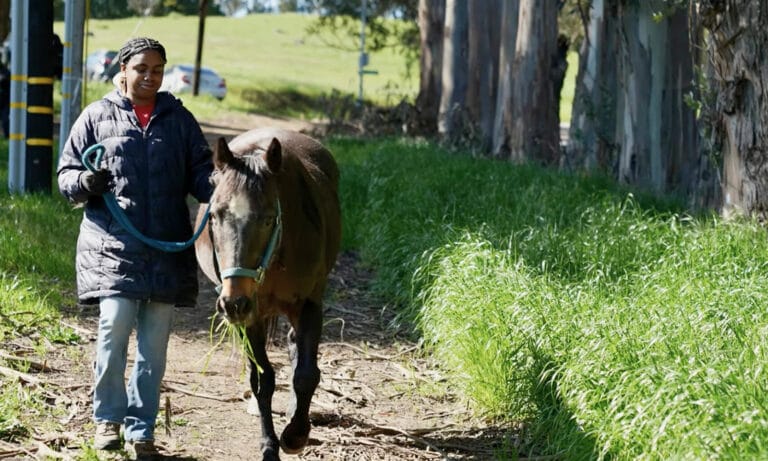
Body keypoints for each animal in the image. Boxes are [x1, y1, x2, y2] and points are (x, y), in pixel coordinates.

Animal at [194, 128, 341, 460]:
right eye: (215, 216)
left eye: (267, 218)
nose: (234, 302)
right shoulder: (251, 317)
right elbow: (262, 380)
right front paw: (269, 445)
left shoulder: (309, 304)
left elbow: (305, 375)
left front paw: (295, 435)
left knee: (296, 349)